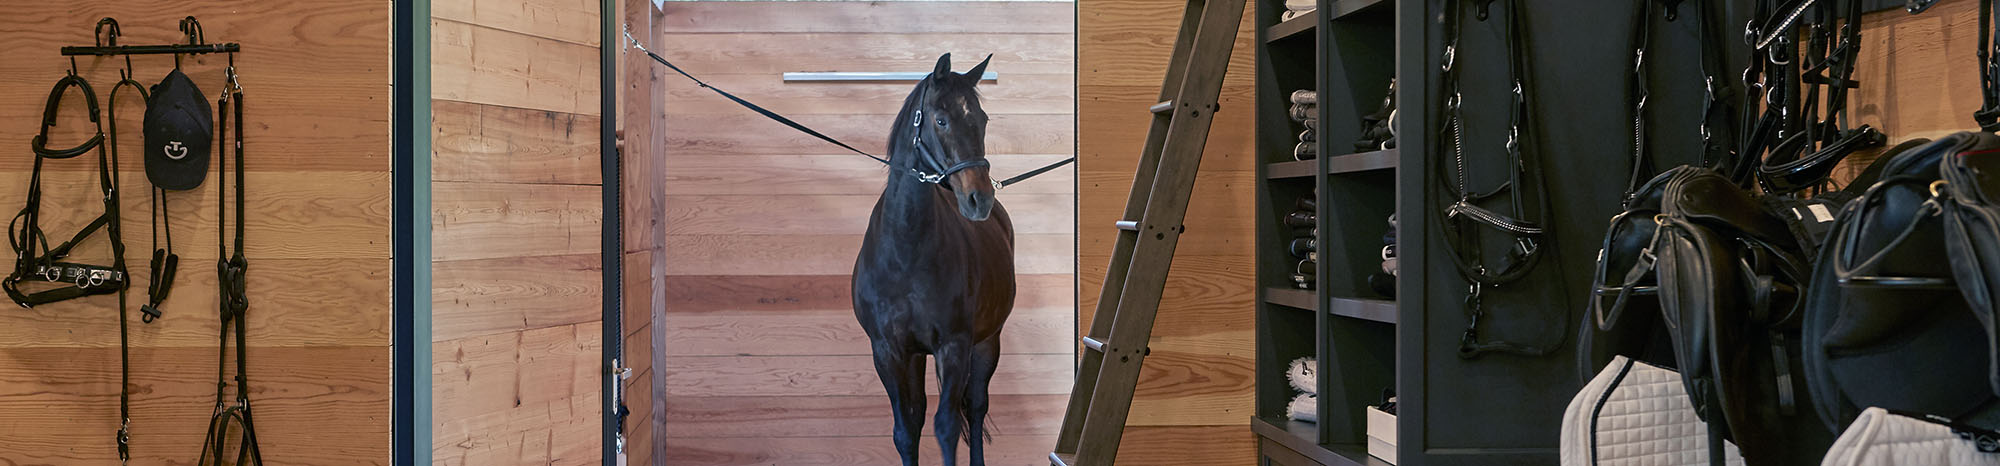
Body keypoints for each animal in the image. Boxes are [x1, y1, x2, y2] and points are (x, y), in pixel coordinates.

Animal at [853, 53, 1016, 466]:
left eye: (983, 119)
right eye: (941, 120)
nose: (979, 199)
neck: (905, 254)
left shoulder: (954, 347)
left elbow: (947, 427)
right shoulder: (888, 351)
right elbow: (905, 430)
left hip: (987, 343)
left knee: (975, 407)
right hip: (917, 356)